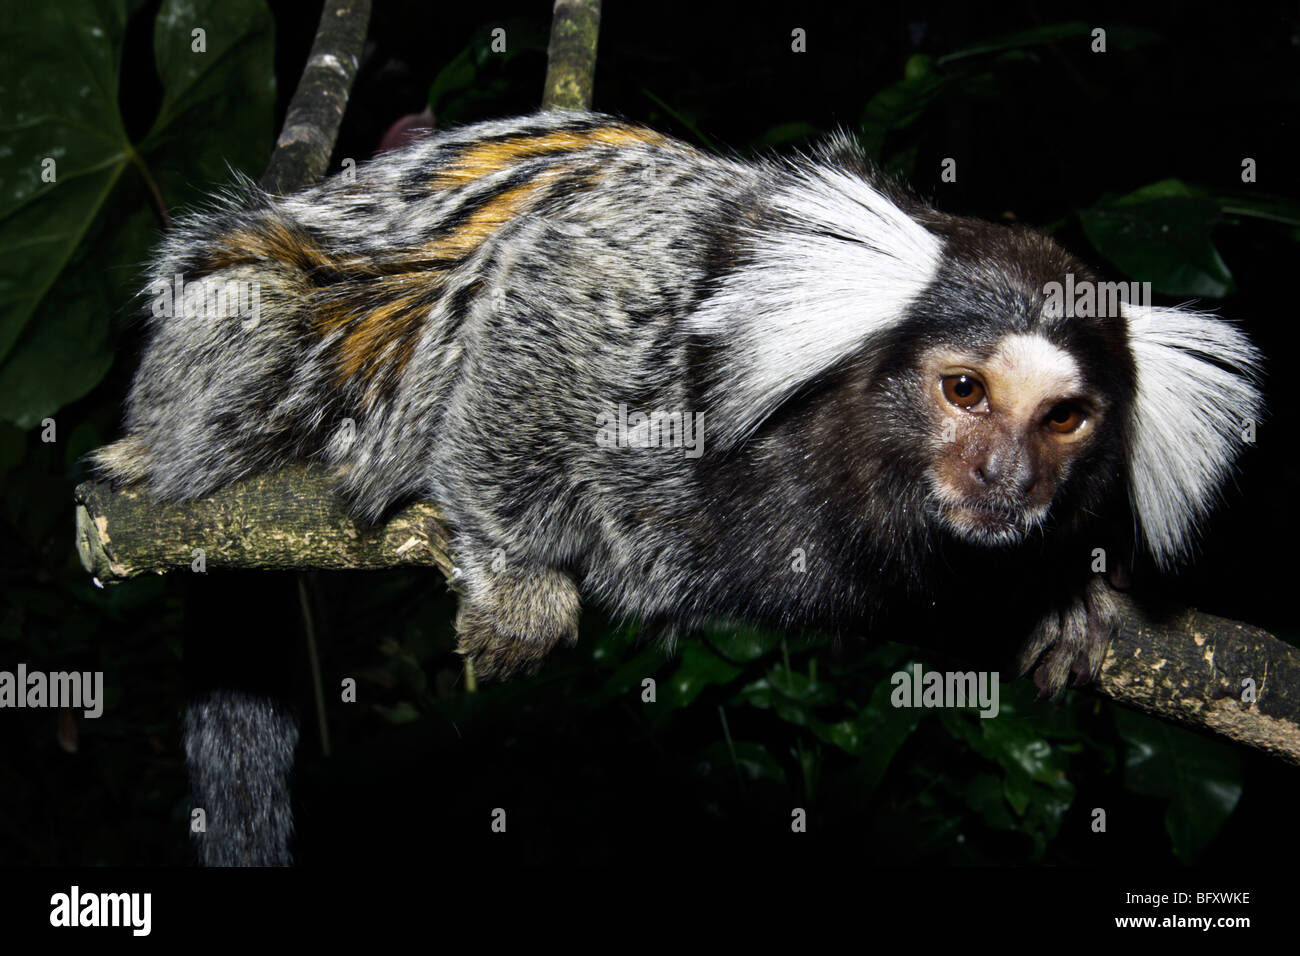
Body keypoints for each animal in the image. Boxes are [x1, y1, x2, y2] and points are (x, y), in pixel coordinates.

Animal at [92, 110, 1263, 863]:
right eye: (965, 390)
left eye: (1064, 418)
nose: (1007, 477)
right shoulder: (658, 315)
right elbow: (532, 300)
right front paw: (516, 578)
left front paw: (1065, 595)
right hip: (226, 349)